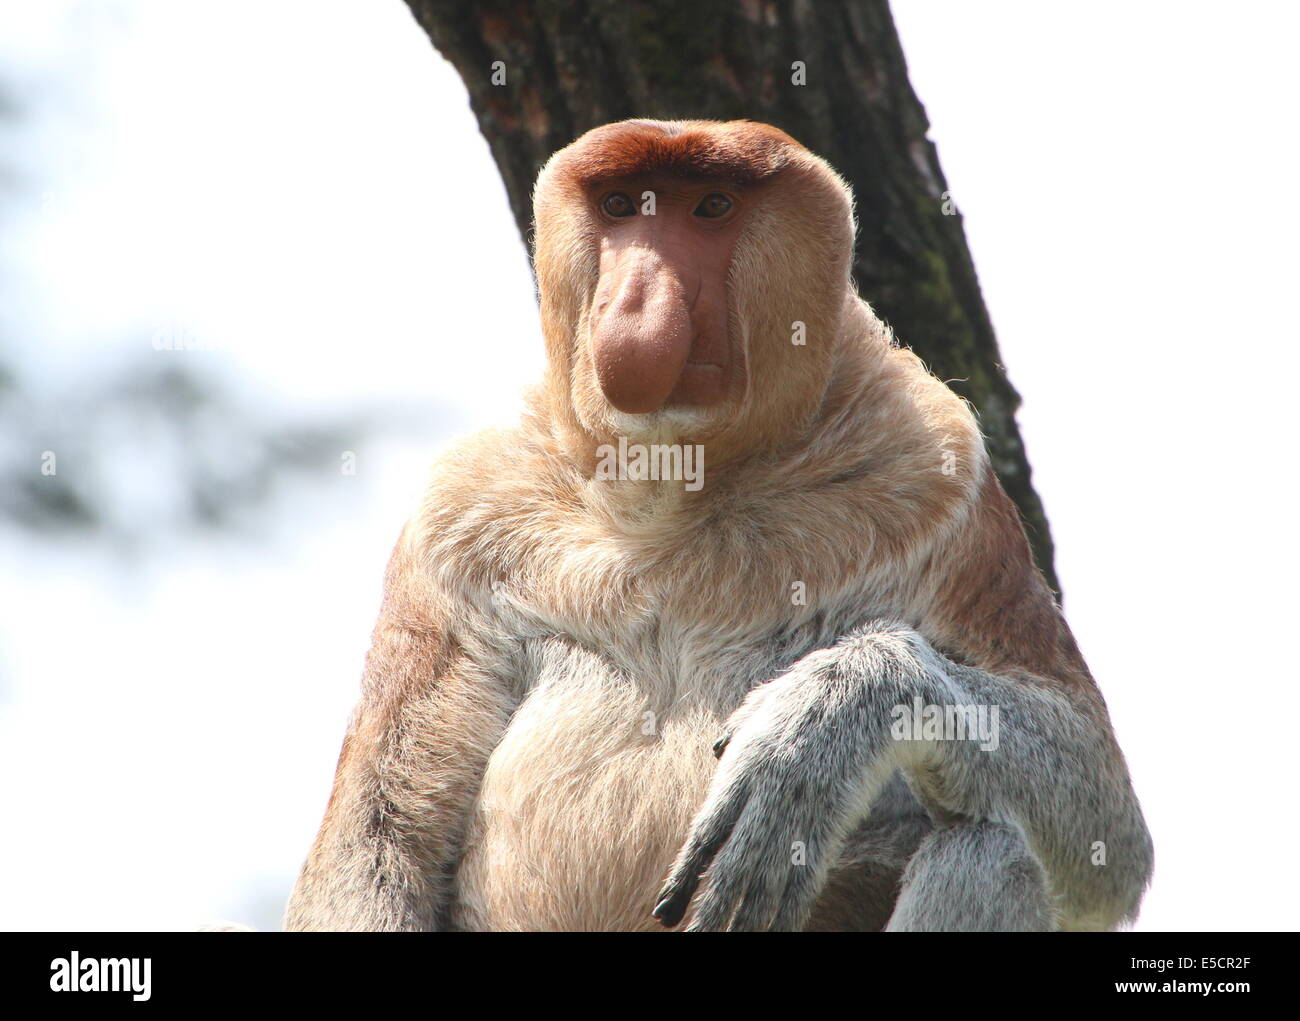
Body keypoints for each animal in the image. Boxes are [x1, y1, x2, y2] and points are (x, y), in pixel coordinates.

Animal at [284, 119, 1153, 932]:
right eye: (622, 206)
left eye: (710, 208)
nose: (636, 307)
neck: (678, 486)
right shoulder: (454, 521)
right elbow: (379, 836)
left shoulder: (949, 481)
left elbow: (1106, 817)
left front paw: (817, 728)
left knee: (993, 848)